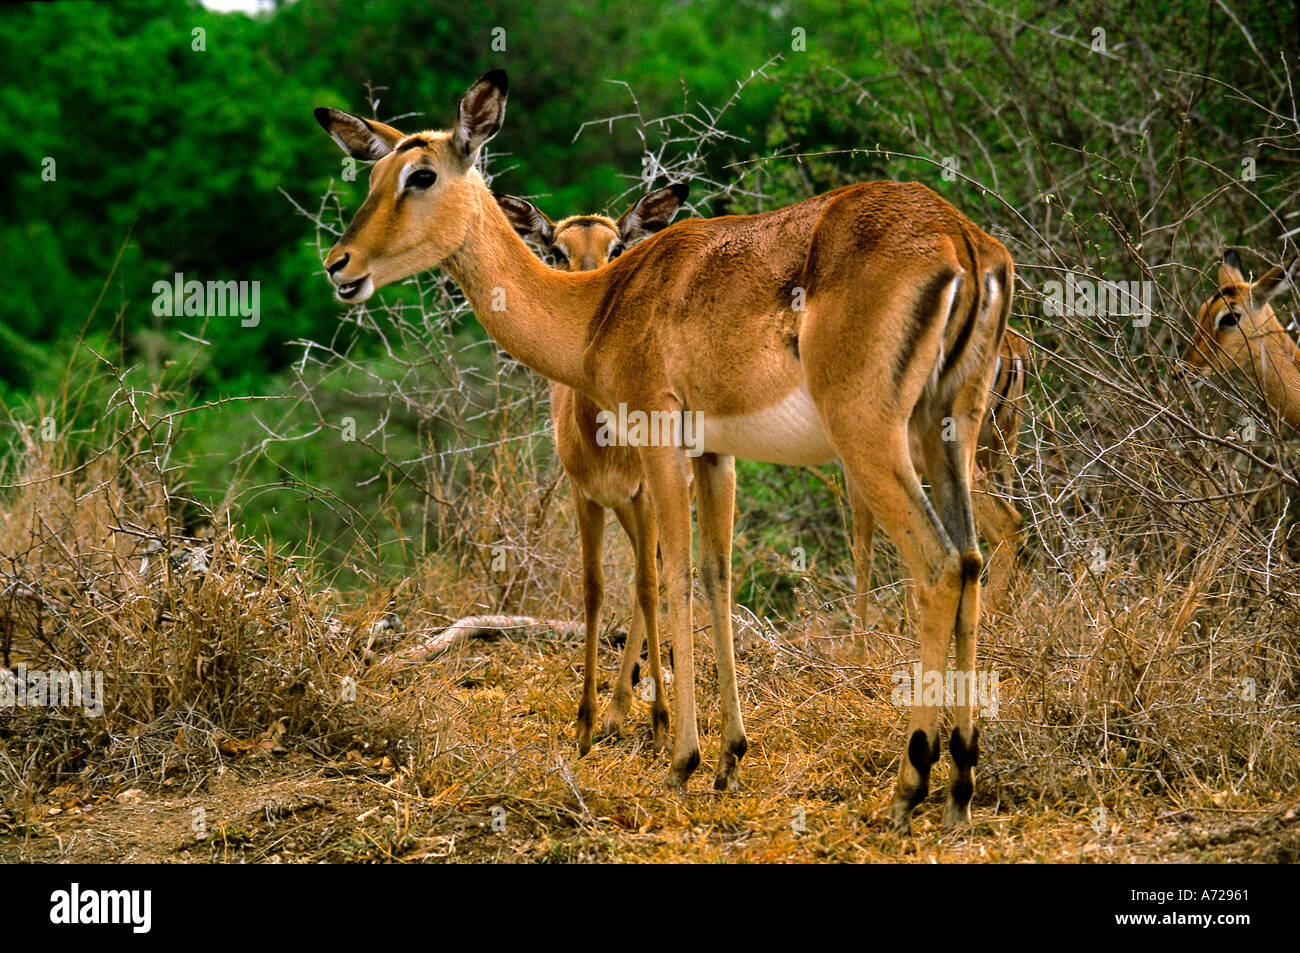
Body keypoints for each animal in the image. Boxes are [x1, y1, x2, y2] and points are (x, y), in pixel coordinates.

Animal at [496, 185, 690, 755]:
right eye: (557, 250)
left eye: (617, 246)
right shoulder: (585, 495)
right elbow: (593, 588)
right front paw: (585, 723)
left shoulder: (644, 493)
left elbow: (646, 585)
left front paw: (662, 722)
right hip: (622, 507)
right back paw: (616, 710)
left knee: (664, 574)